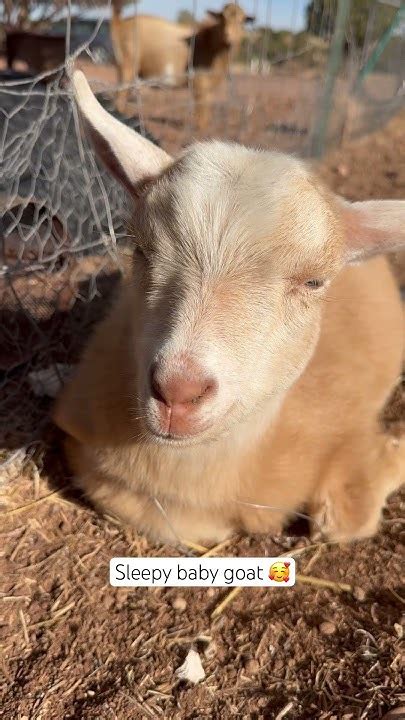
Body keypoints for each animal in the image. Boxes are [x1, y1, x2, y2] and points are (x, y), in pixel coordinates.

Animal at [110, 3, 254, 129]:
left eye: (241, 21)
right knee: (121, 93)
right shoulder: (199, 80)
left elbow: (207, 105)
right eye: (222, 19)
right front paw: (200, 129)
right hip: (127, 64)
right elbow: (201, 107)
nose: (229, 35)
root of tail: (122, 22)